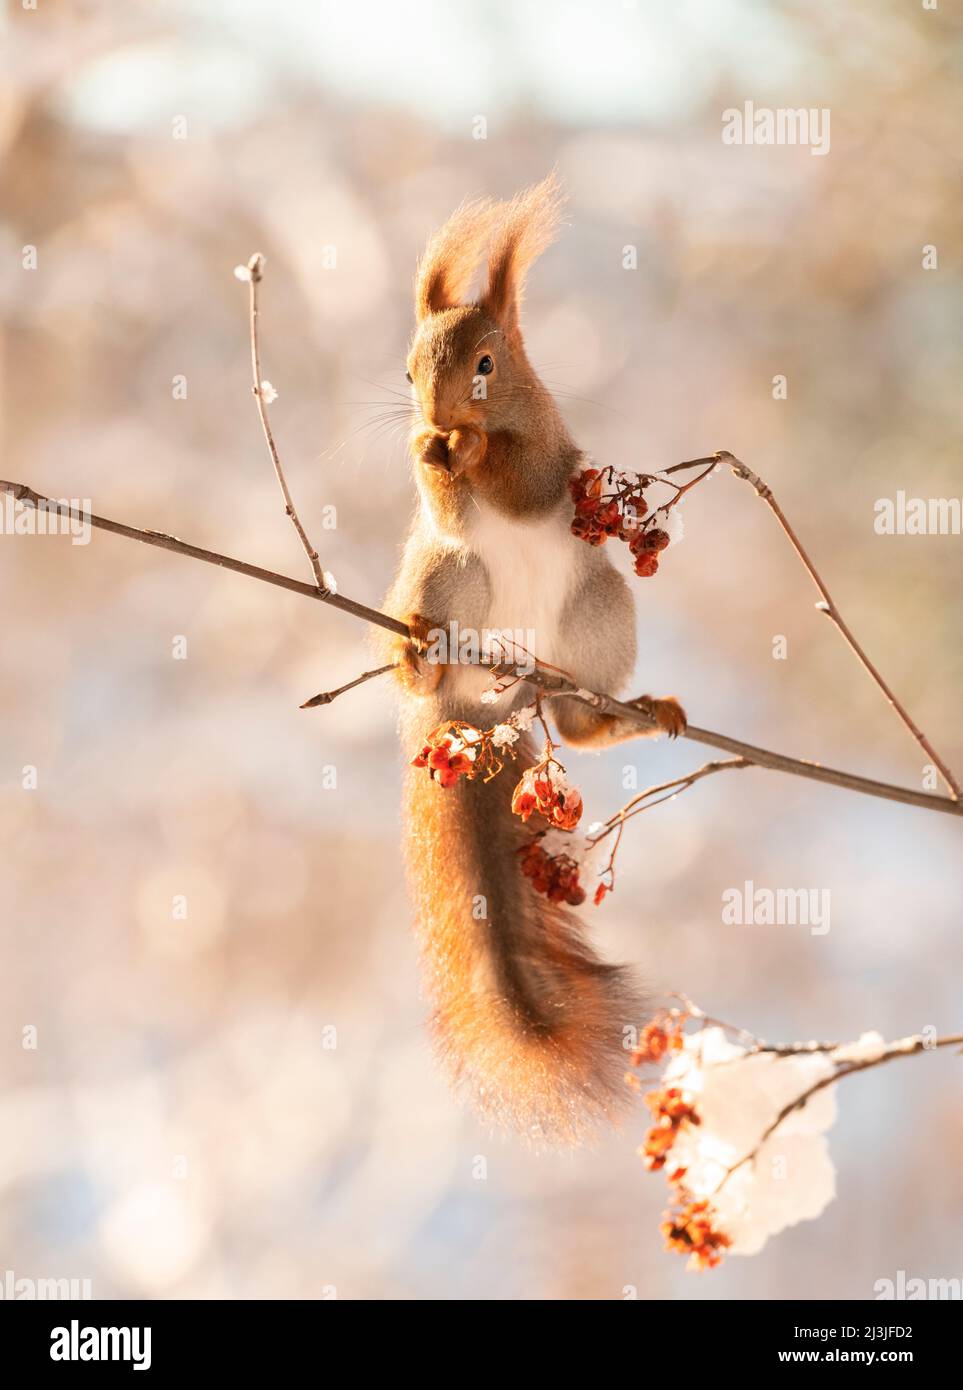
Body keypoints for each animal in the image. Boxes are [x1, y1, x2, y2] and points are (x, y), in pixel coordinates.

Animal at [378, 173, 686, 1144]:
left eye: (485, 365)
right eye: (404, 373)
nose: (437, 419)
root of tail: (478, 712)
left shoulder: (549, 448)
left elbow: (526, 478)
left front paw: (476, 449)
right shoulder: (440, 512)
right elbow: (439, 492)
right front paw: (430, 453)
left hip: (597, 608)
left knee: (579, 725)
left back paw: (624, 715)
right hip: (447, 575)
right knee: (437, 621)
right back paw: (415, 658)